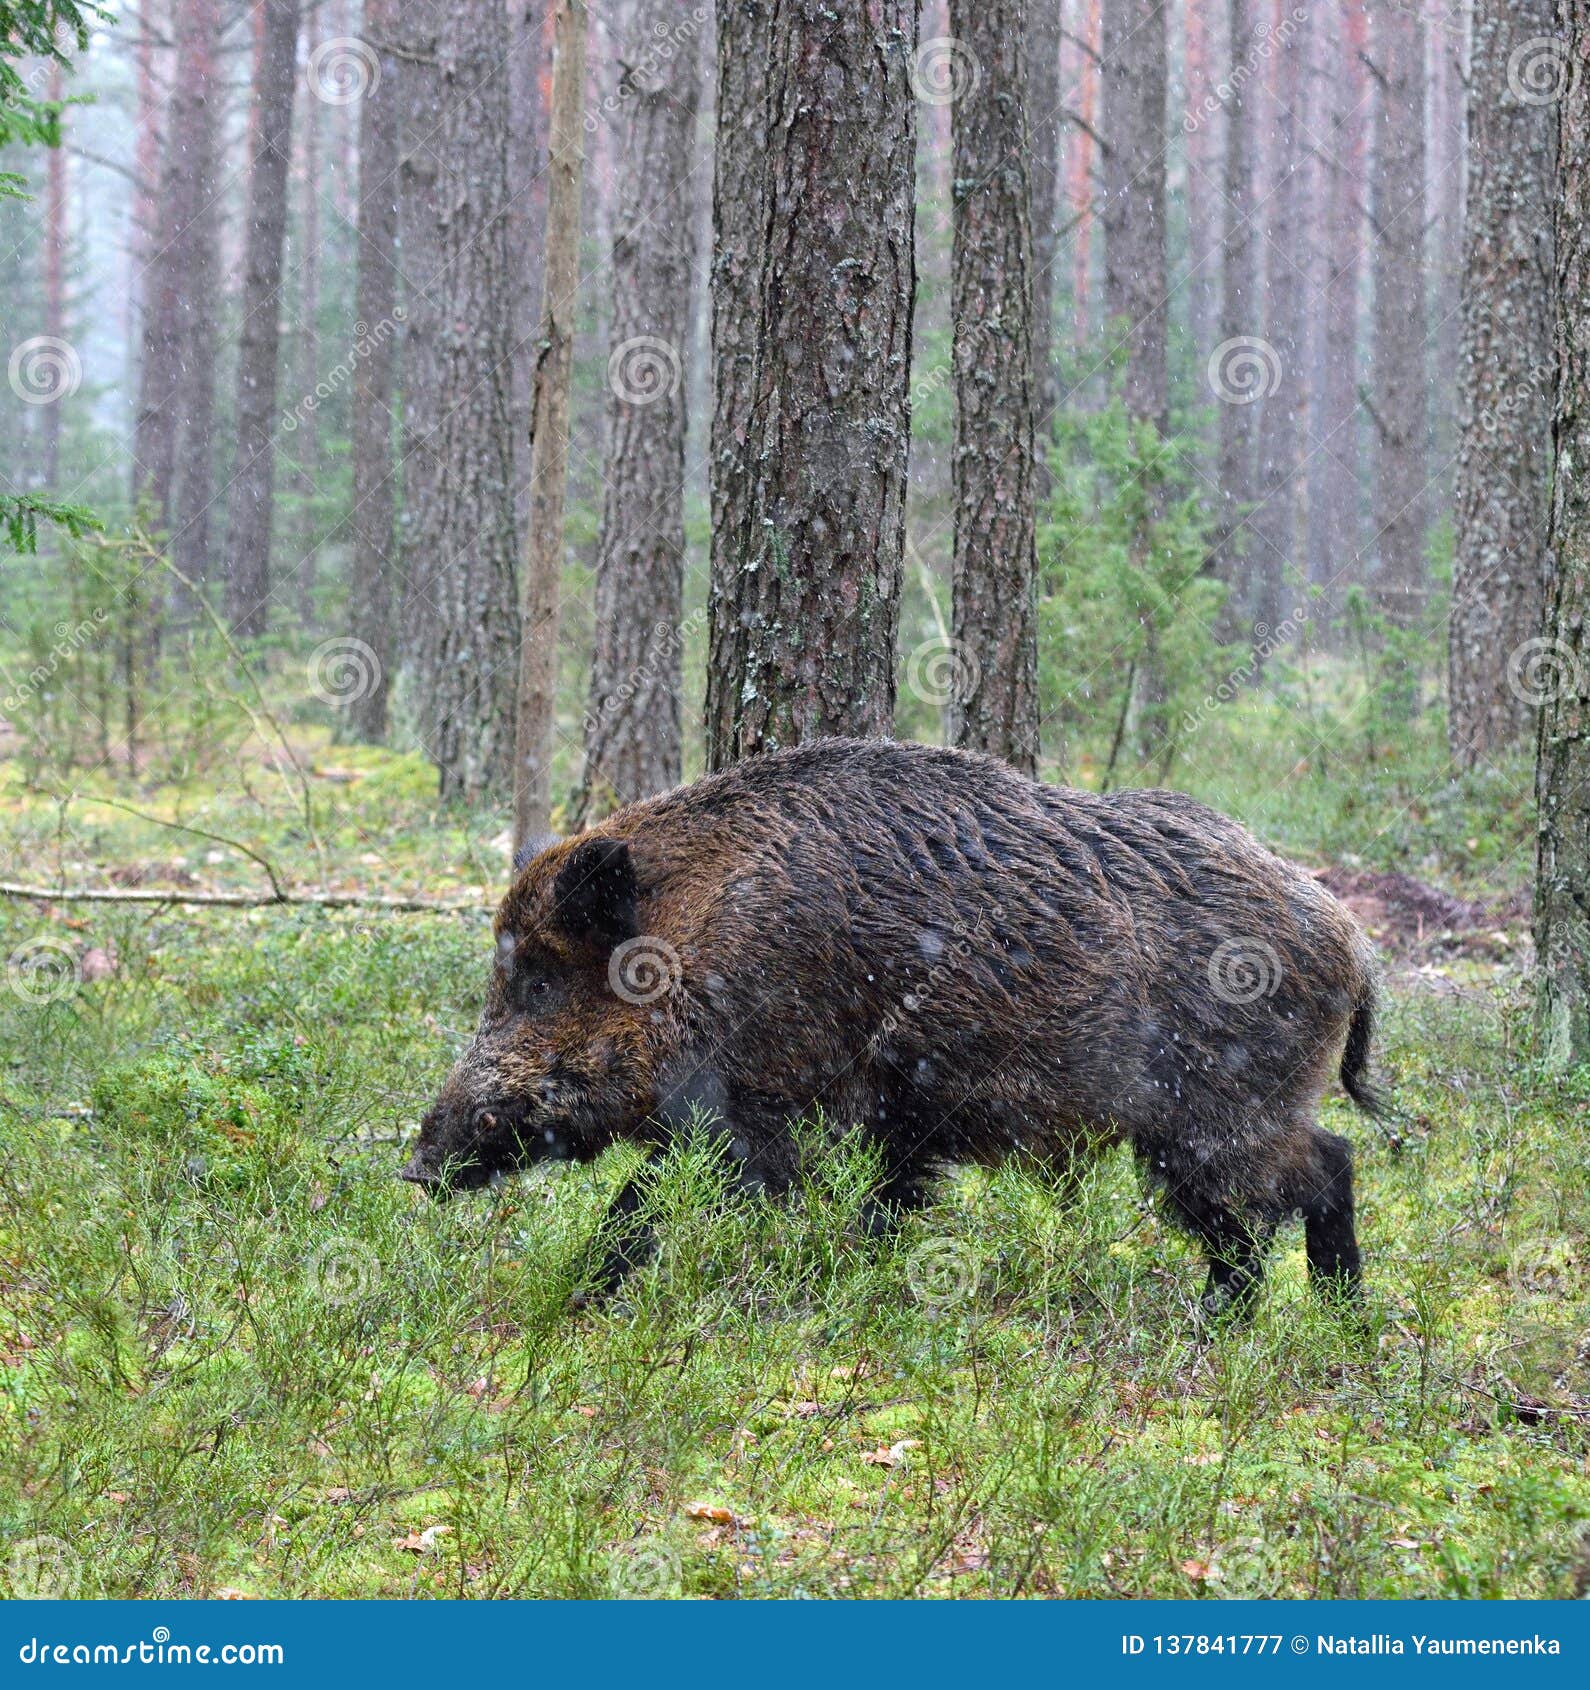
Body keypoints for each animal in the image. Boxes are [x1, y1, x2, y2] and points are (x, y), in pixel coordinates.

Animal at [403, 737, 1385, 1318]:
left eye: (535, 981)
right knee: (1290, 1192)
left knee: (1303, 1182)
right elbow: (881, 1206)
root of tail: (1350, 938)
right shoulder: (891, 1121)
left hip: (1213, 1116)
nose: (414, 1164)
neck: (706, 939)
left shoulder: (759, 1104)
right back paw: (1299, 1323)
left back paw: (1273, 1322)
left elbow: (652, 1205)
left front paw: (583, 1300)